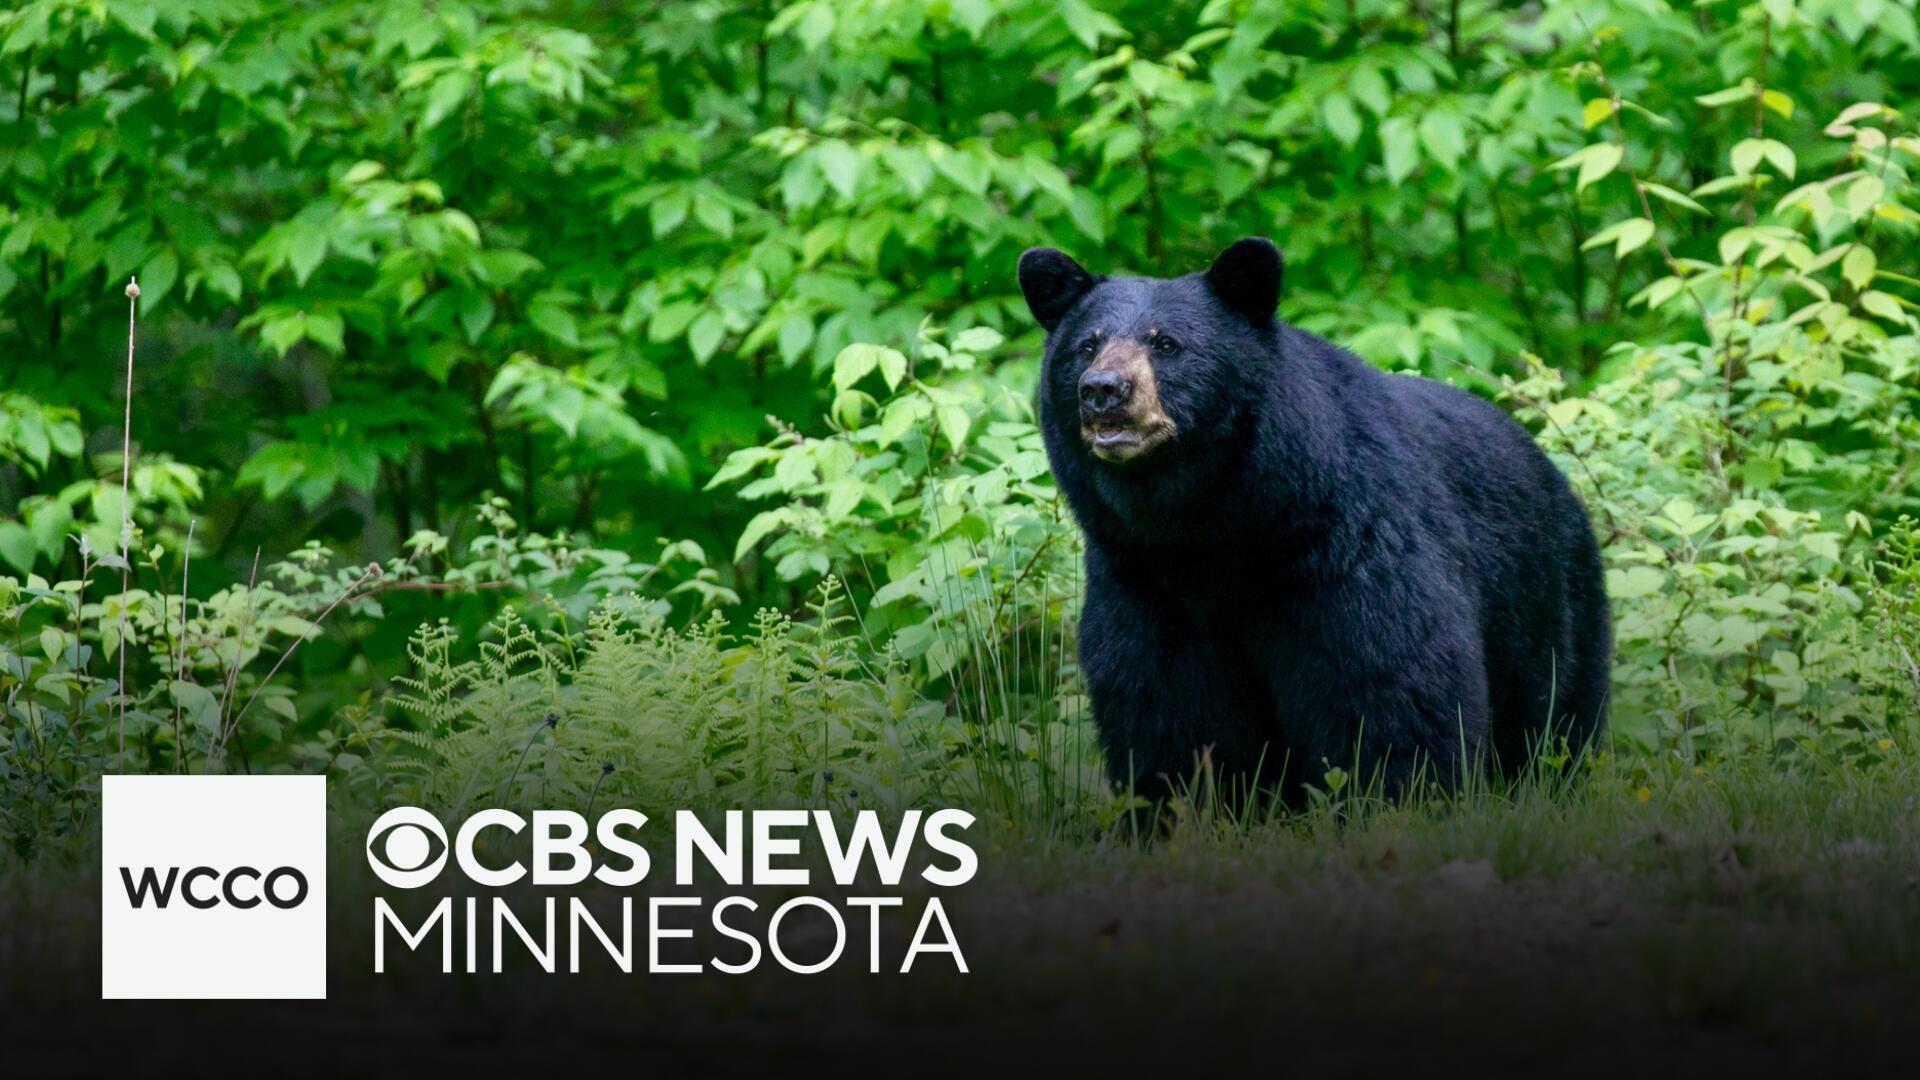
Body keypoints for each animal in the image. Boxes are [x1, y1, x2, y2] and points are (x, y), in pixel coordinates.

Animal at [1017, 237, 1611, 802]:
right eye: (1086, 345)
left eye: (1166, 344)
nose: (1103, 389)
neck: (1218, 527)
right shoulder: (1145, 582)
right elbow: (1165, 708)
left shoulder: (1350, 547)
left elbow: (1388, 686)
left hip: (1548, 603)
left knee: (1553, 724)